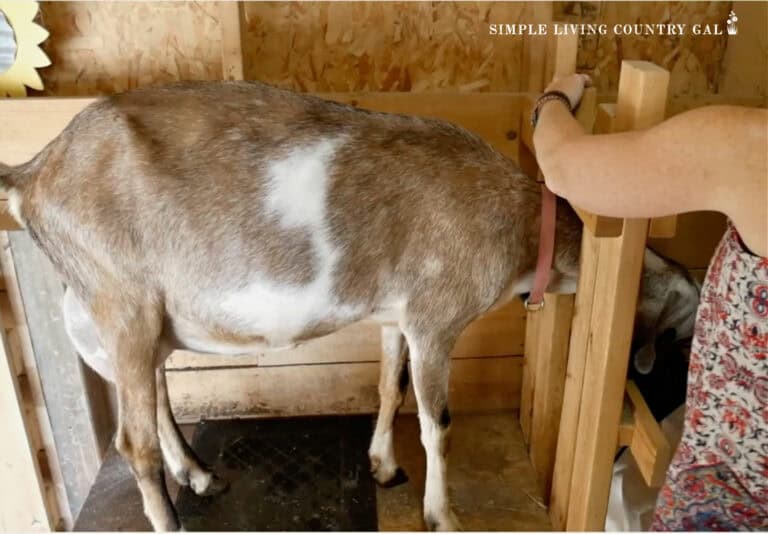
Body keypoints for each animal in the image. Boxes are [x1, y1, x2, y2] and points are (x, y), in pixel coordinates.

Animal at [0, 81, 699, 531]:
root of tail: (34, 173)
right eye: (682, 328)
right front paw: (444, 514)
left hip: (136, 318)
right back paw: (172, 518)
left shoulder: (396, 316)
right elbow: (438, 420)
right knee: (133, 441)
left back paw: (199, 476)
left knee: (154, 401)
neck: (524, 224)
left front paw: (383, 466)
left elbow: (390, 387)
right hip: (123, 302)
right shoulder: (435, 318)